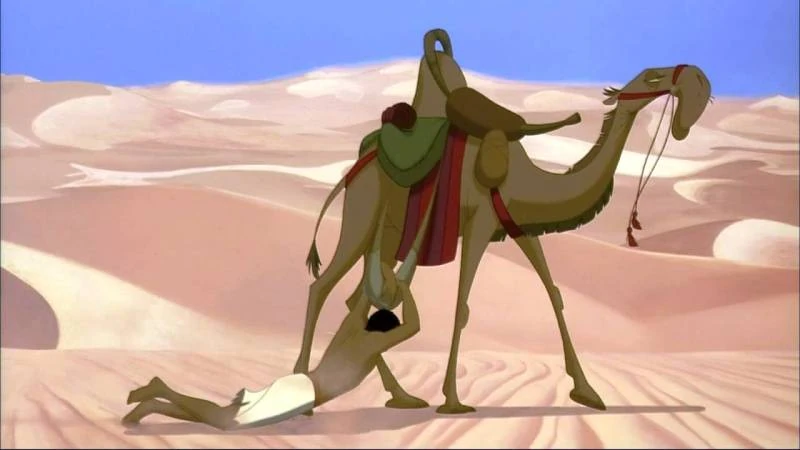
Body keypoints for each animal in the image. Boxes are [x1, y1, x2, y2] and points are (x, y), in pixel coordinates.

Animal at [293, 33, 712, 414]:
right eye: (652, 77)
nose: (695, 77)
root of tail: (360, 161)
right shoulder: (479, 223)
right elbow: (462, 306)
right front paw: (452, 400)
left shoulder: (521, 226)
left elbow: (554, 294)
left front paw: (587, 391)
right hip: (362, 216)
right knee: (321, 288)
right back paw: (307, 392)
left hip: (389, 231)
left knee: (359, 298)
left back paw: (401, 395)